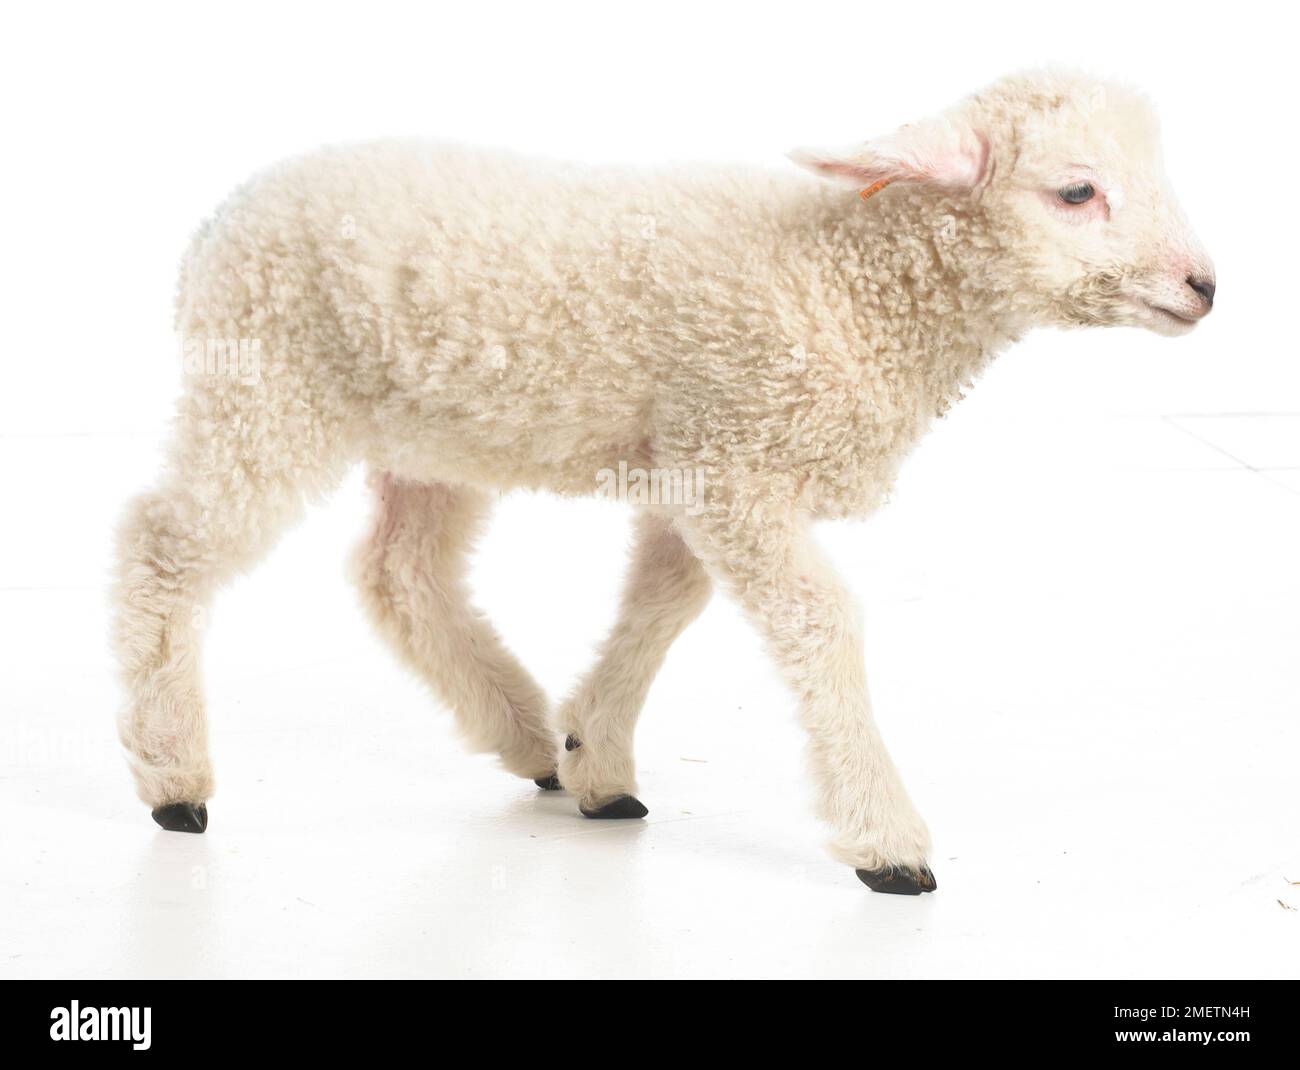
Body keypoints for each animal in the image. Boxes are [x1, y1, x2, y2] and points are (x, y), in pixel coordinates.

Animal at [112, 69, 1214, 894]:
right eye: (1076, 192)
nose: (1205, 286)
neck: (850, 278)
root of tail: (215, 225)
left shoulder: (698, 461)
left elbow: (663, 601)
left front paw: (594, 754)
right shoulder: (735, 462)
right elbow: (822, 624)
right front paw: (887, 838)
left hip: (432, 429)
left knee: (399, 572)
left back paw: (524, 737)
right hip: (263, 387)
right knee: (162, 542)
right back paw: (174, 776)